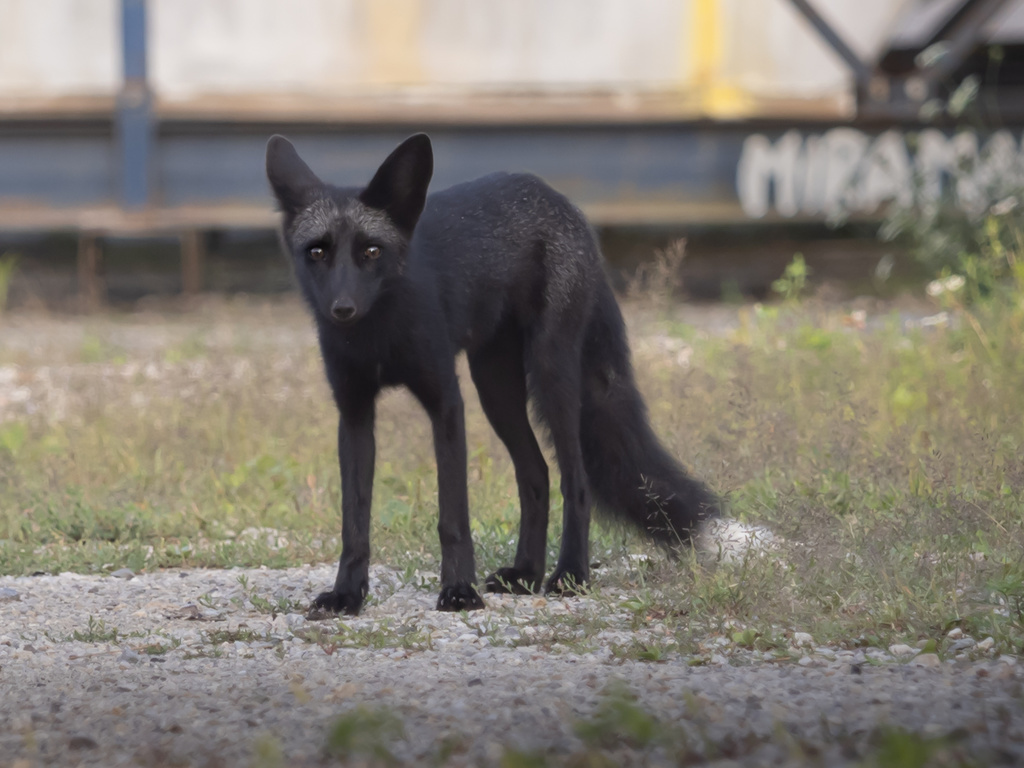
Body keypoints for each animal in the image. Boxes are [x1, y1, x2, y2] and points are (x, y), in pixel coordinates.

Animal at [266, 133, 720, 615]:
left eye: (371, 251)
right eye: (317, 252)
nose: (343, 309)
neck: (379, 338)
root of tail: (559, 199)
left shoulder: (446, 402)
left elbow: (453, 517)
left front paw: (459, 591)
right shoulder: (354, 412)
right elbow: (354, 522)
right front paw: (348, 594)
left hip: (551, 376)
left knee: (574, 482)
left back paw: (569, 575)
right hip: (496, 390)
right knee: (536, 474)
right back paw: (526, 574)